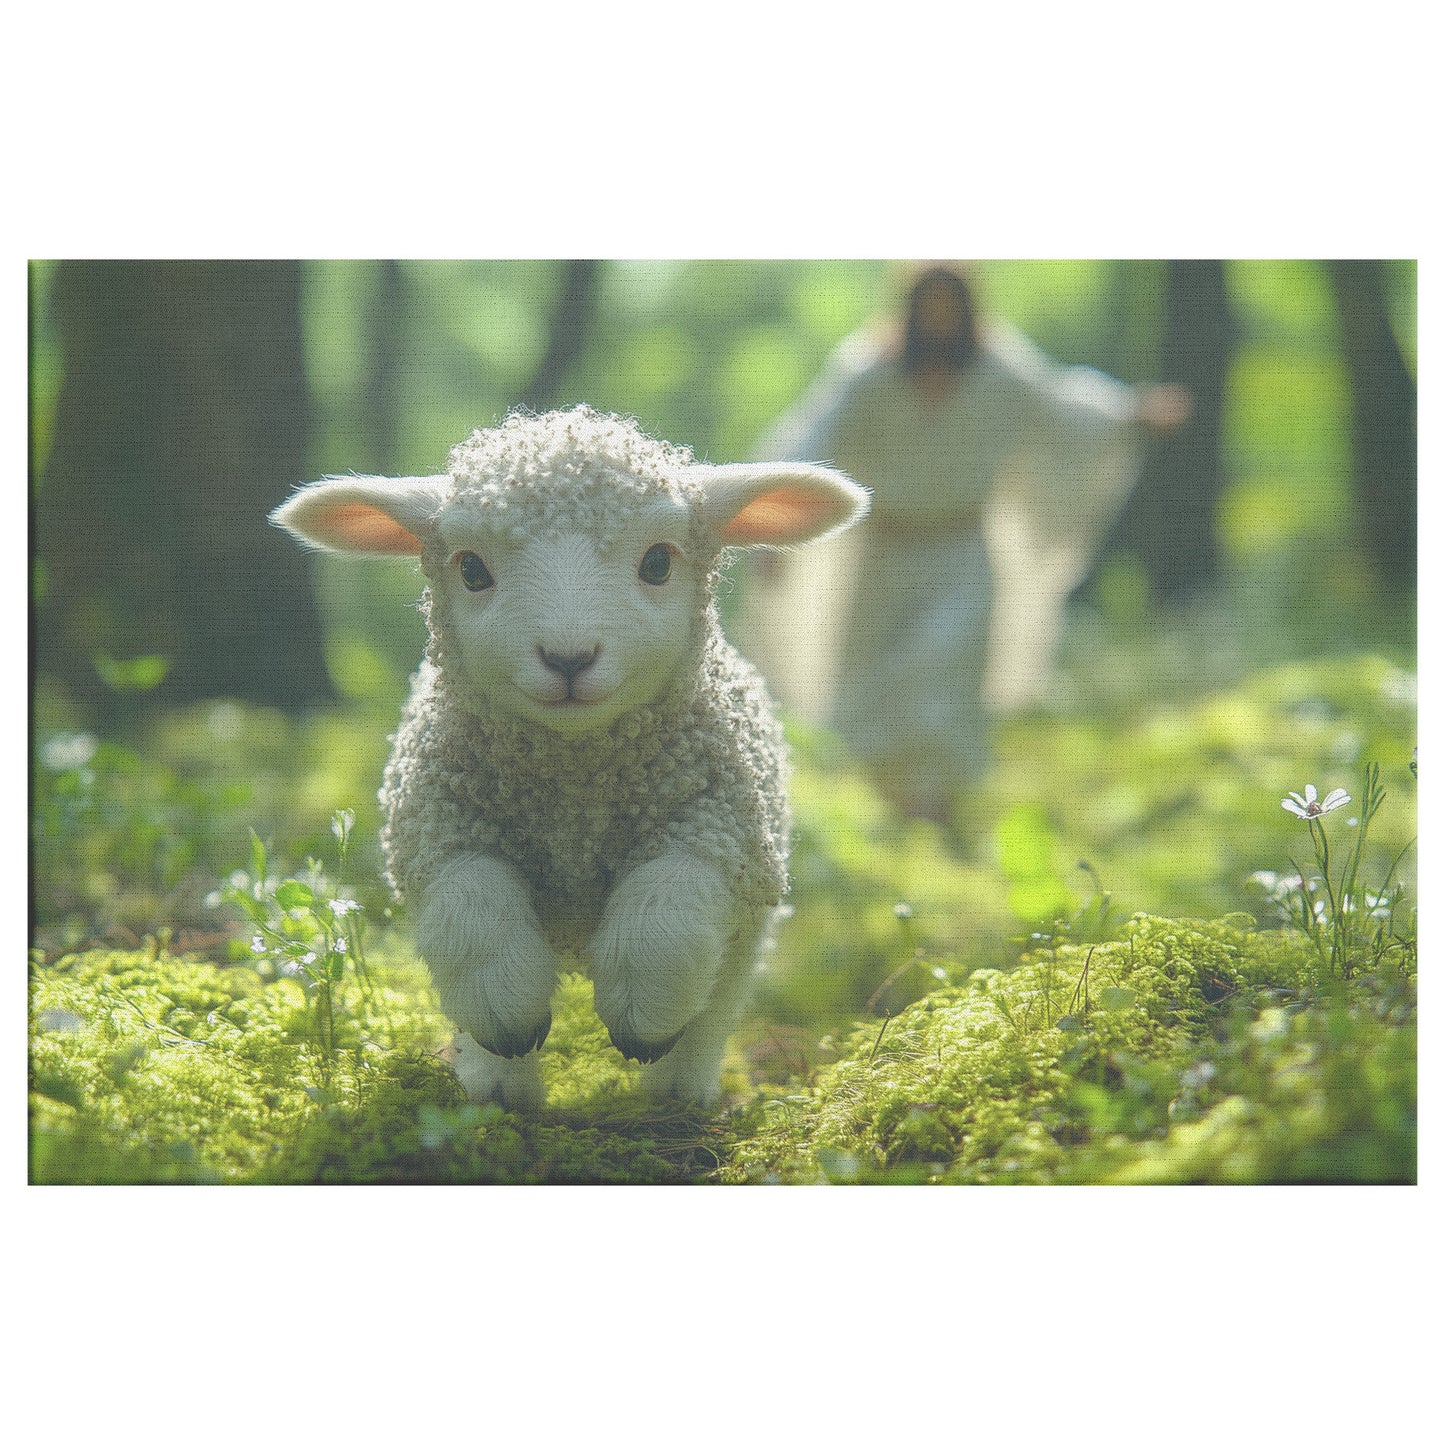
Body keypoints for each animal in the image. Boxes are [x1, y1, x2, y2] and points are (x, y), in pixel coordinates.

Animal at [271, 406, 868, 1112]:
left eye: (658, 562)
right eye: (471, 569)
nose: (568, 657)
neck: (575, 787)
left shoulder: (720, 828)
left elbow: (666, 912)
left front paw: (641, 1019)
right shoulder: (440, 826)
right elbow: (471, 914)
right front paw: (507, 1018)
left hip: (749, 920)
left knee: (718, 1001)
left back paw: (678, 1091)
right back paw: (500, 1088)